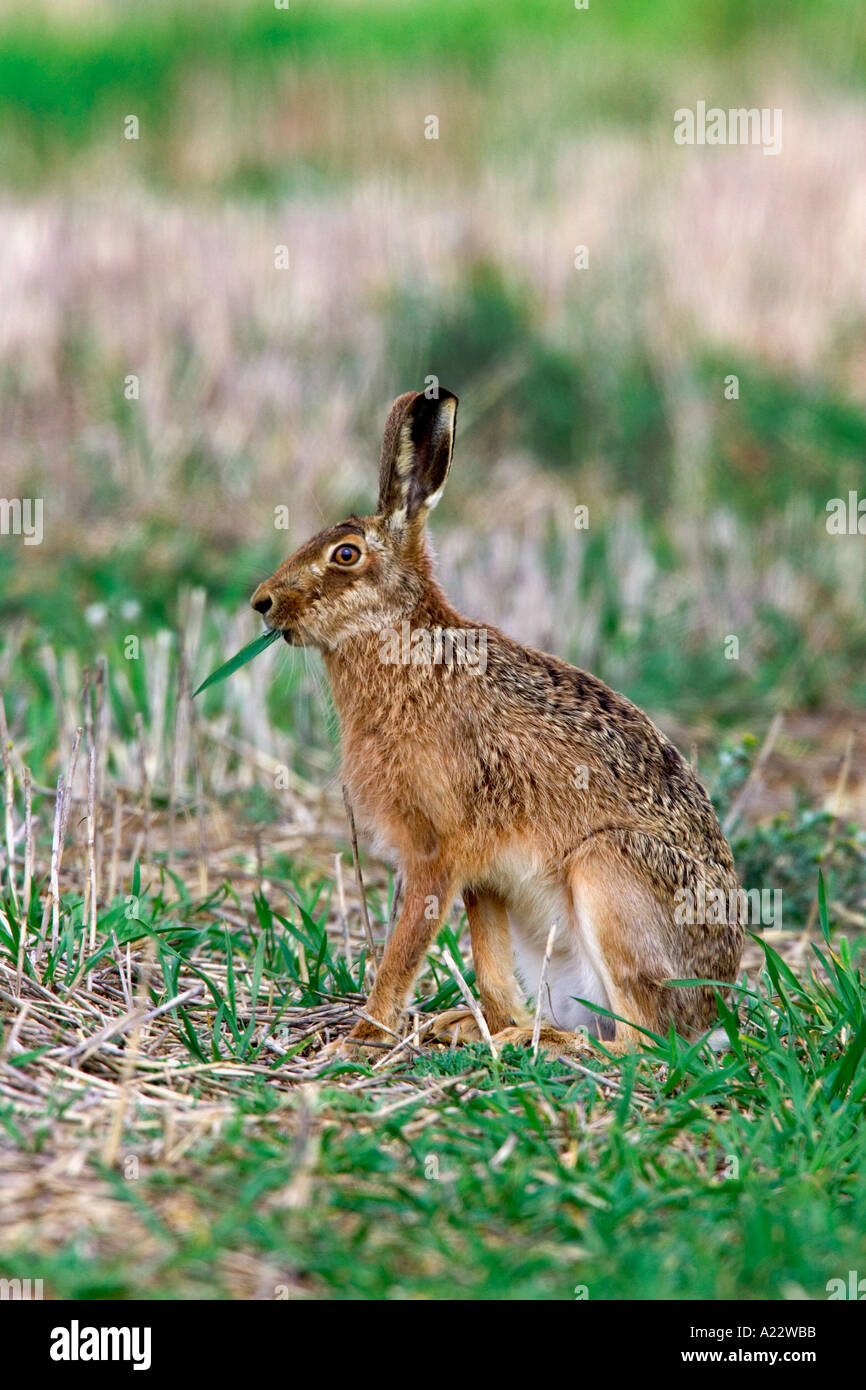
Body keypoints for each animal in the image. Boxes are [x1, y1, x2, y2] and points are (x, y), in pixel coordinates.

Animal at [251, 389, 744, 1059]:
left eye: (345, 555)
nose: (263, 602)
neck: (401, 641)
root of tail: (715, 1009)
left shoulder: (436, 849)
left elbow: (405, 947)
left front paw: (363, 1038)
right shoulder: (482, 872)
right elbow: (487, 955)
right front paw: (479, 1022)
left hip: (610, 873)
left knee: (643, 1042)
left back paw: (545, 1042)